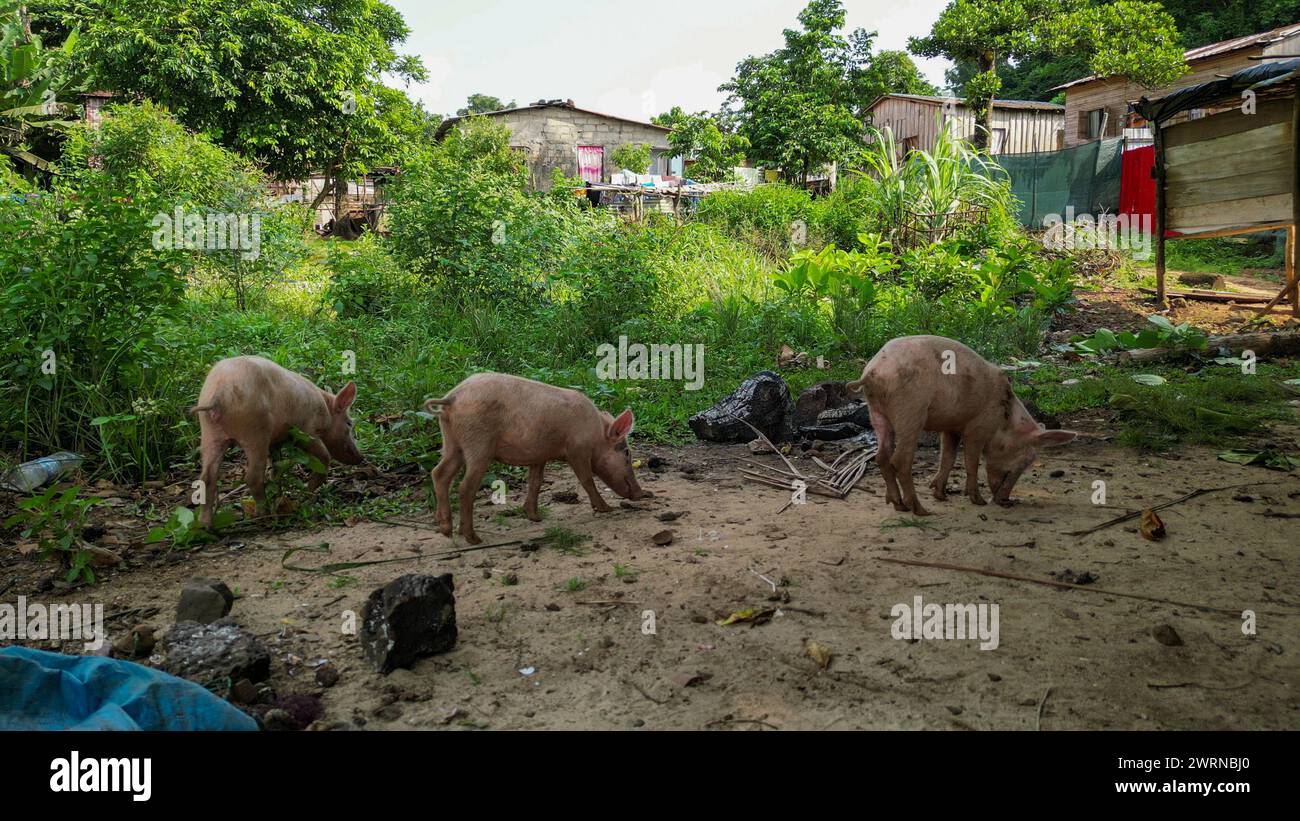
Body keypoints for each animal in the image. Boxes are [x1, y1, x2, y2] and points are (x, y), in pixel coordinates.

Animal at [190, 356, 363, 527]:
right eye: (349, 423)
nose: (361, 457)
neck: (326, 408)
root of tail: (219, 394)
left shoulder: (276, 441)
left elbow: (277, 469)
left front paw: (280, 495)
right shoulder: (306, 430)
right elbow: (324, 457)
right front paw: (306, 495)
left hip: (209, 431)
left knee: (207, 477)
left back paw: (205, 525)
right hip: (254, 430)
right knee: (253, 476)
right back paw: (264, 516)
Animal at [426, 373, 647, 545]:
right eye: (626, 453)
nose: (641, 493)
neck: (595, 434)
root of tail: (452, 398)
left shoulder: (539, 455)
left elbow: (535, 482)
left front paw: (535, 518)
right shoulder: (577, 451)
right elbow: (586, 480)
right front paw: (607, 509)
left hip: (452, 444)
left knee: (439, 473)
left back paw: (446, 530)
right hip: (478, 444)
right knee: (465, 487)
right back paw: (473, 539)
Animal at [847, 336, 1076, 516]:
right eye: (1024, 459)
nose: (1005, 500)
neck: (1003, 419)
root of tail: (871, 373)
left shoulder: (951, 427)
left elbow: (947, 458)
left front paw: (940, 495)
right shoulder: (977, 427)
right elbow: (971, 462)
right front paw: (979, 501)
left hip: (876, 412)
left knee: (881, 456)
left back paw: (899, 506)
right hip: (910, 411)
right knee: (900, 460)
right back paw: (920, 510)